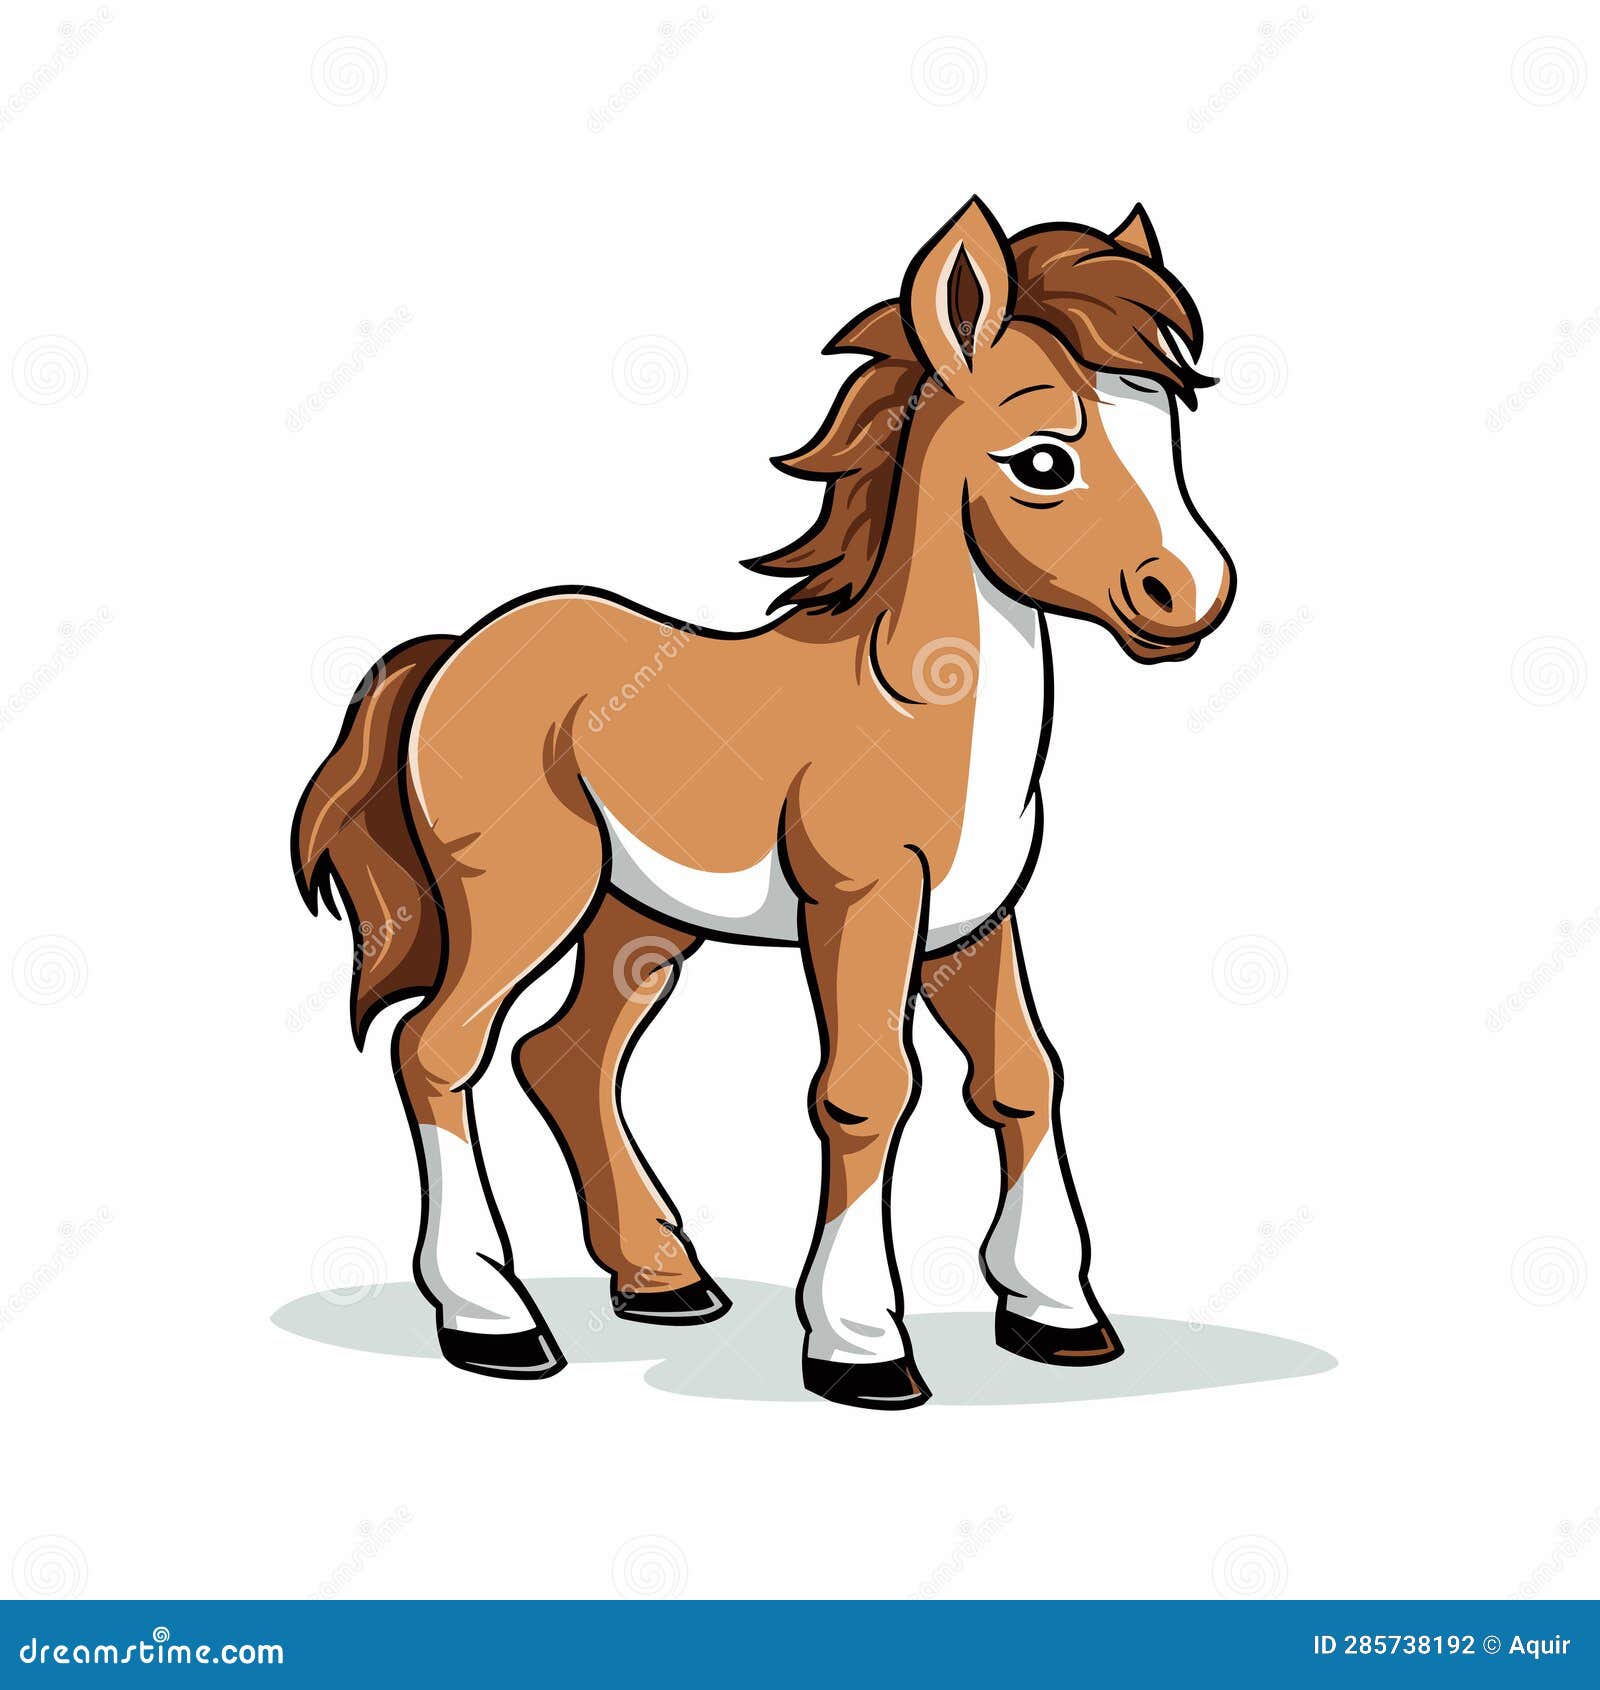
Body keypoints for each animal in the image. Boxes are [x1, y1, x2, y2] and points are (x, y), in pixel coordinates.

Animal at [292, 197, 1235, 1410]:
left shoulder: (971, 925)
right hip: (523, 898)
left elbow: (1023, 1076)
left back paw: (663, 1282)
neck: (917, 708)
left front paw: (1056, 1311)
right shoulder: (862, 905)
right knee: (438, 1049)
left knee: (566, 1054)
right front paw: (859, 1343)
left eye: (1169, 439)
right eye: (1043, 459)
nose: (1189, 594)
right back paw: (493, 1319)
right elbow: (867, 1087)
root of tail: (455, 651)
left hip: (638, 916)